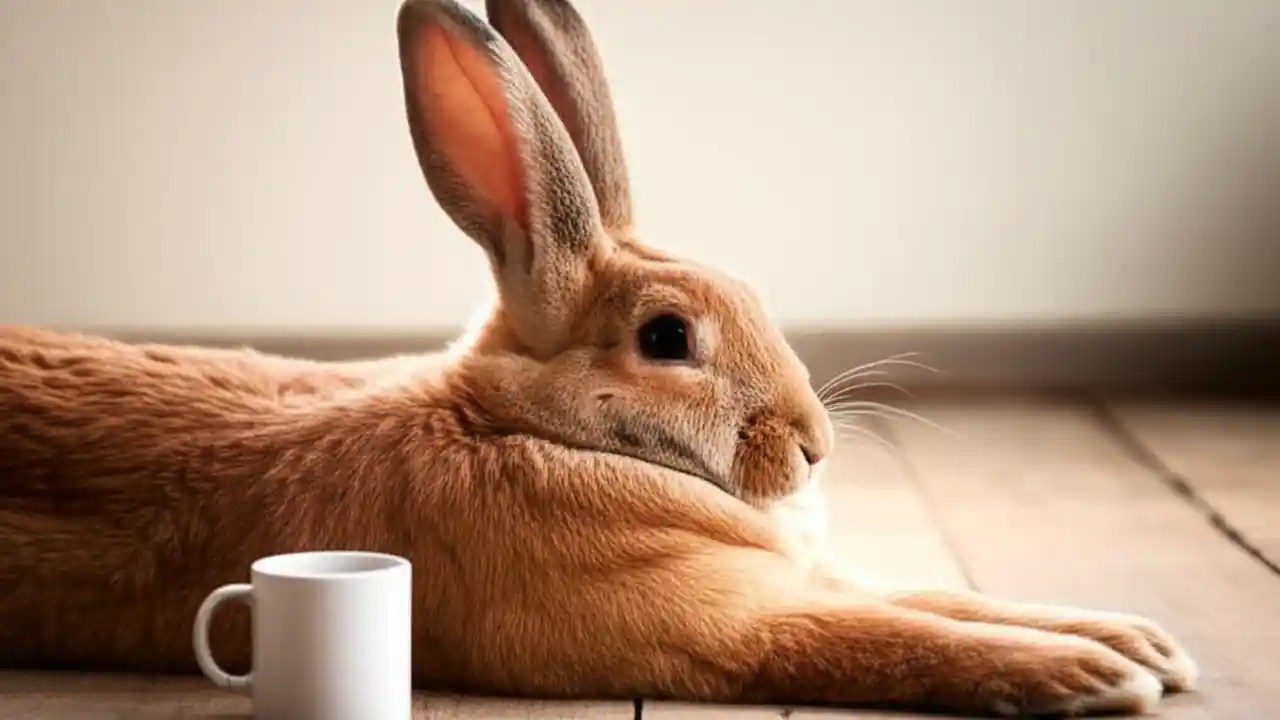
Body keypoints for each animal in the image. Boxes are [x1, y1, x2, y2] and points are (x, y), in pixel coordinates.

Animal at [0, 0, 1197, 715]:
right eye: (668, 339)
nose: (814, 446)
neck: (528, 426)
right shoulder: (741, 627)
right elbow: (887, 635)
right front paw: (1090, 674)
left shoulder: (813, 575)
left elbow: (938, 596)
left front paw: (1139, 643)